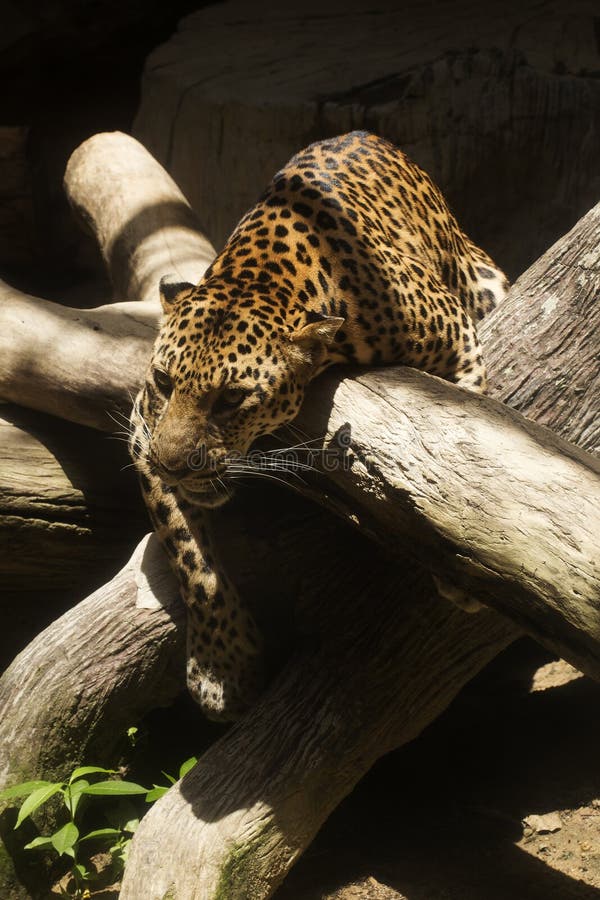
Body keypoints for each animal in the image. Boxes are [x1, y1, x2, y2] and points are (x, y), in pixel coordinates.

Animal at [129, 130, 508, 722]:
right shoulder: (143, 428)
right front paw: (222, 667)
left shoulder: (458, 342)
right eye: (165, 382)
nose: (172, 464)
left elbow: (457, 441)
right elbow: (187, 550)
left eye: (231, 400)